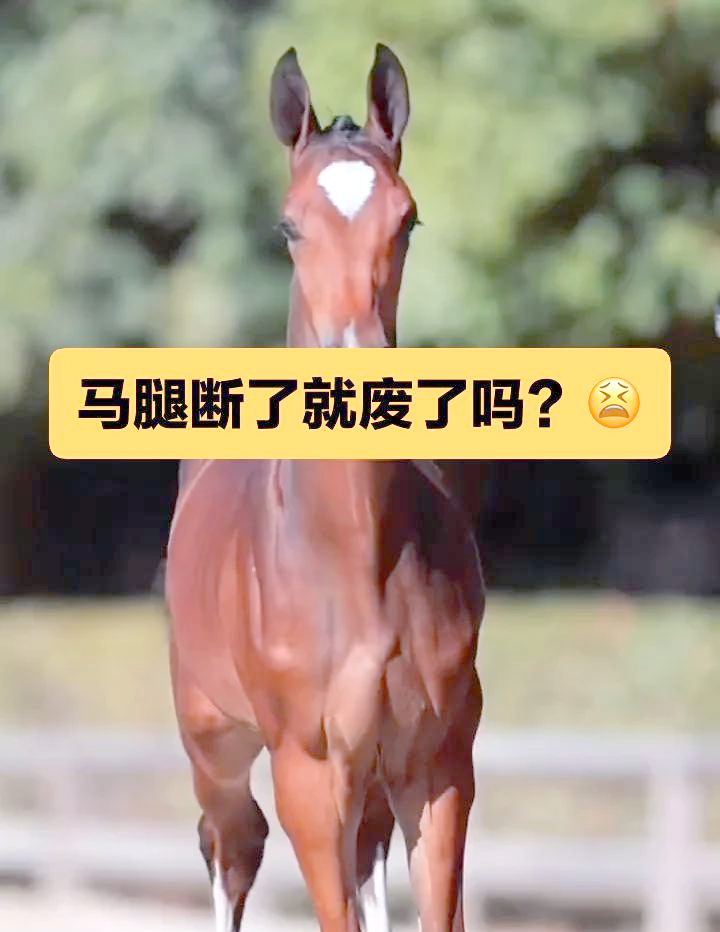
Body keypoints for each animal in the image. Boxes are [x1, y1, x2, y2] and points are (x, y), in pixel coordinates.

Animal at [164, 44, 485, 932]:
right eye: (288, 225)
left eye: (407, 220)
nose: (356, 357)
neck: (353, 561)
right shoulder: (306, 768)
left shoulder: (438, 764)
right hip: (216, 746)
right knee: (230, 845)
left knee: (363, 854)